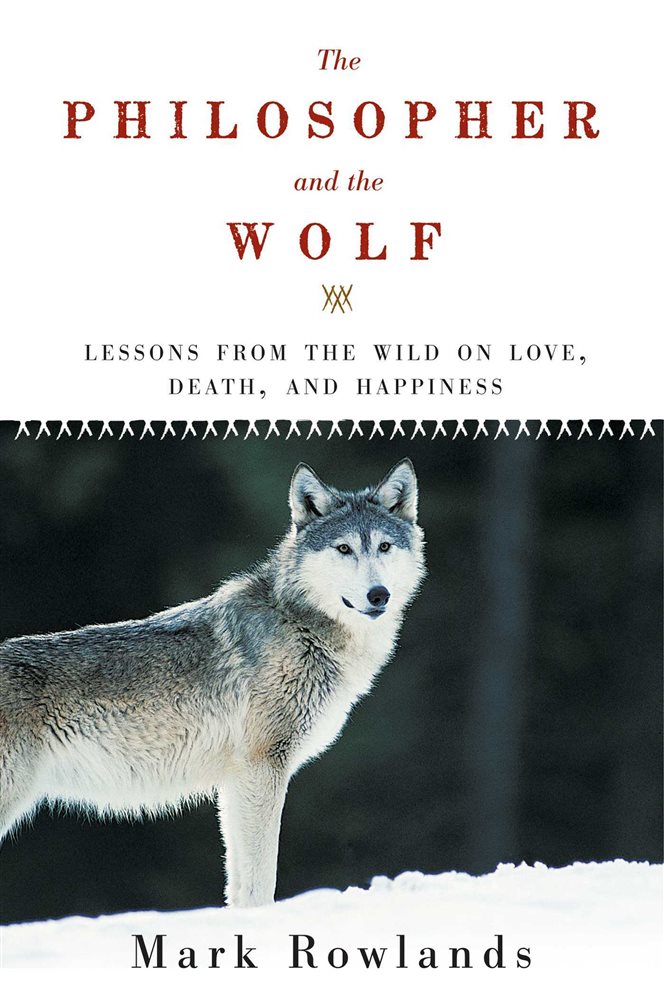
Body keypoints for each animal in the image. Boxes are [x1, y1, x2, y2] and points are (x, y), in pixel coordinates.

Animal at [0, 459, 425, 907]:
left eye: (384, 547)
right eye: (344, 549)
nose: (378, 595)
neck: (299, 624)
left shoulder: (237, 781)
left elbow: (238, 881)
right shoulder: (262, 767)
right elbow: (261, 878)